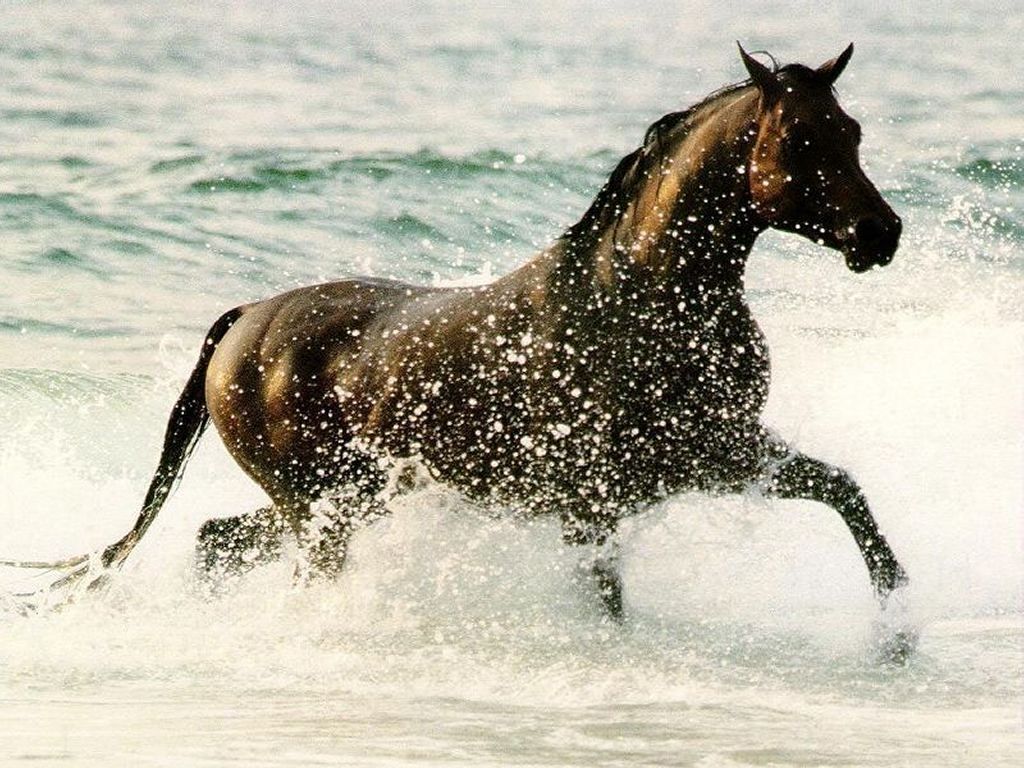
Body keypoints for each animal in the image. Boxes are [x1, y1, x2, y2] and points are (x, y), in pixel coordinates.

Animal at [7, 44, 908, 628]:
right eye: (798, 140)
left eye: (853, 132)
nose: (881, 233)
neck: (640, 301)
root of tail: (245, 322)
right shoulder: (595, 502)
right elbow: (608, 600)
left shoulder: (719, 454)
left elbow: (846, 493)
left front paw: (899, 624)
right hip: (321, 508)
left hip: (346, 499)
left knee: (215, 541)